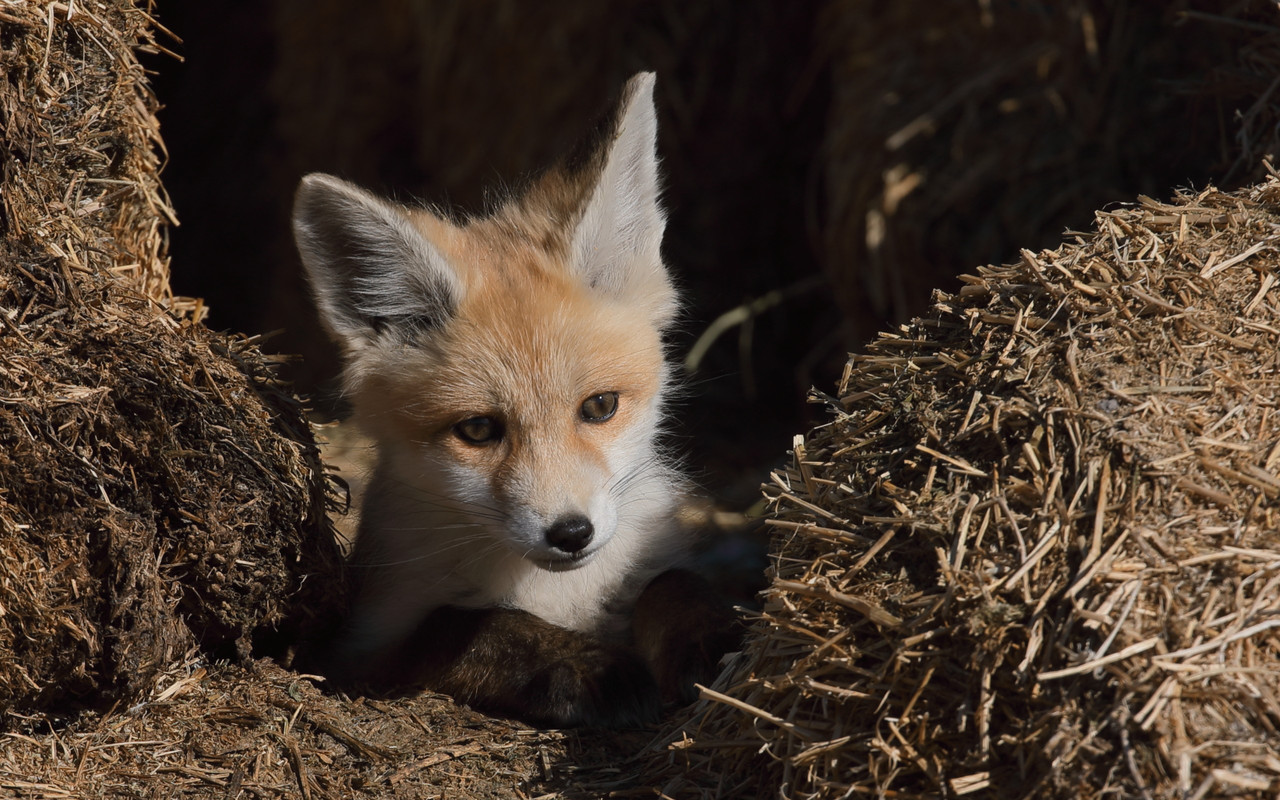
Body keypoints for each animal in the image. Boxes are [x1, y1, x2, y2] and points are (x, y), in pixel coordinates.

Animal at [291, 73, 738, 727]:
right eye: (478, 430)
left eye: (600, 407)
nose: (571, 534)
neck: (560, 595)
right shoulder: (354, 654)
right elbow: (466, 625)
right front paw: (580, 663)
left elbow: (673, 582)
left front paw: (707, 634)